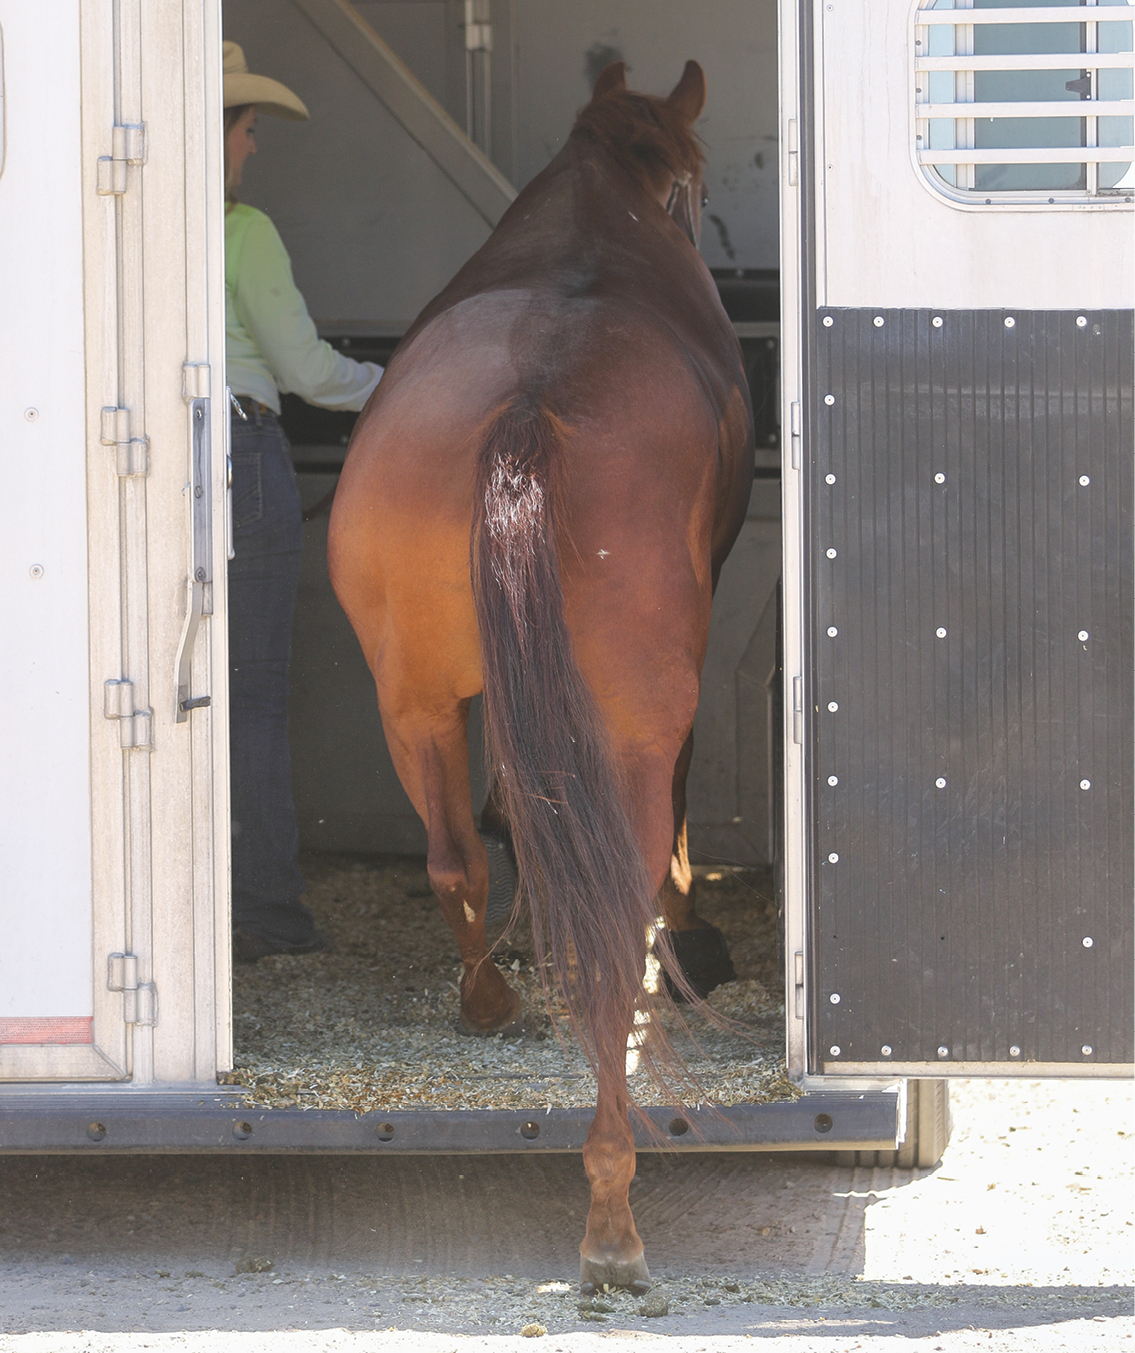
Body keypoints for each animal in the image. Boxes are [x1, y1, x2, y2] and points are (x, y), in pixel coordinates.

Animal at [328, 59, 755, 1293]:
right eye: (690, 190)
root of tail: (530, 401)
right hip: (628, 728)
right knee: (613, 914)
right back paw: (611, 1214)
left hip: (411, 699)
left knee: (451, 861)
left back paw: (491, 1000)